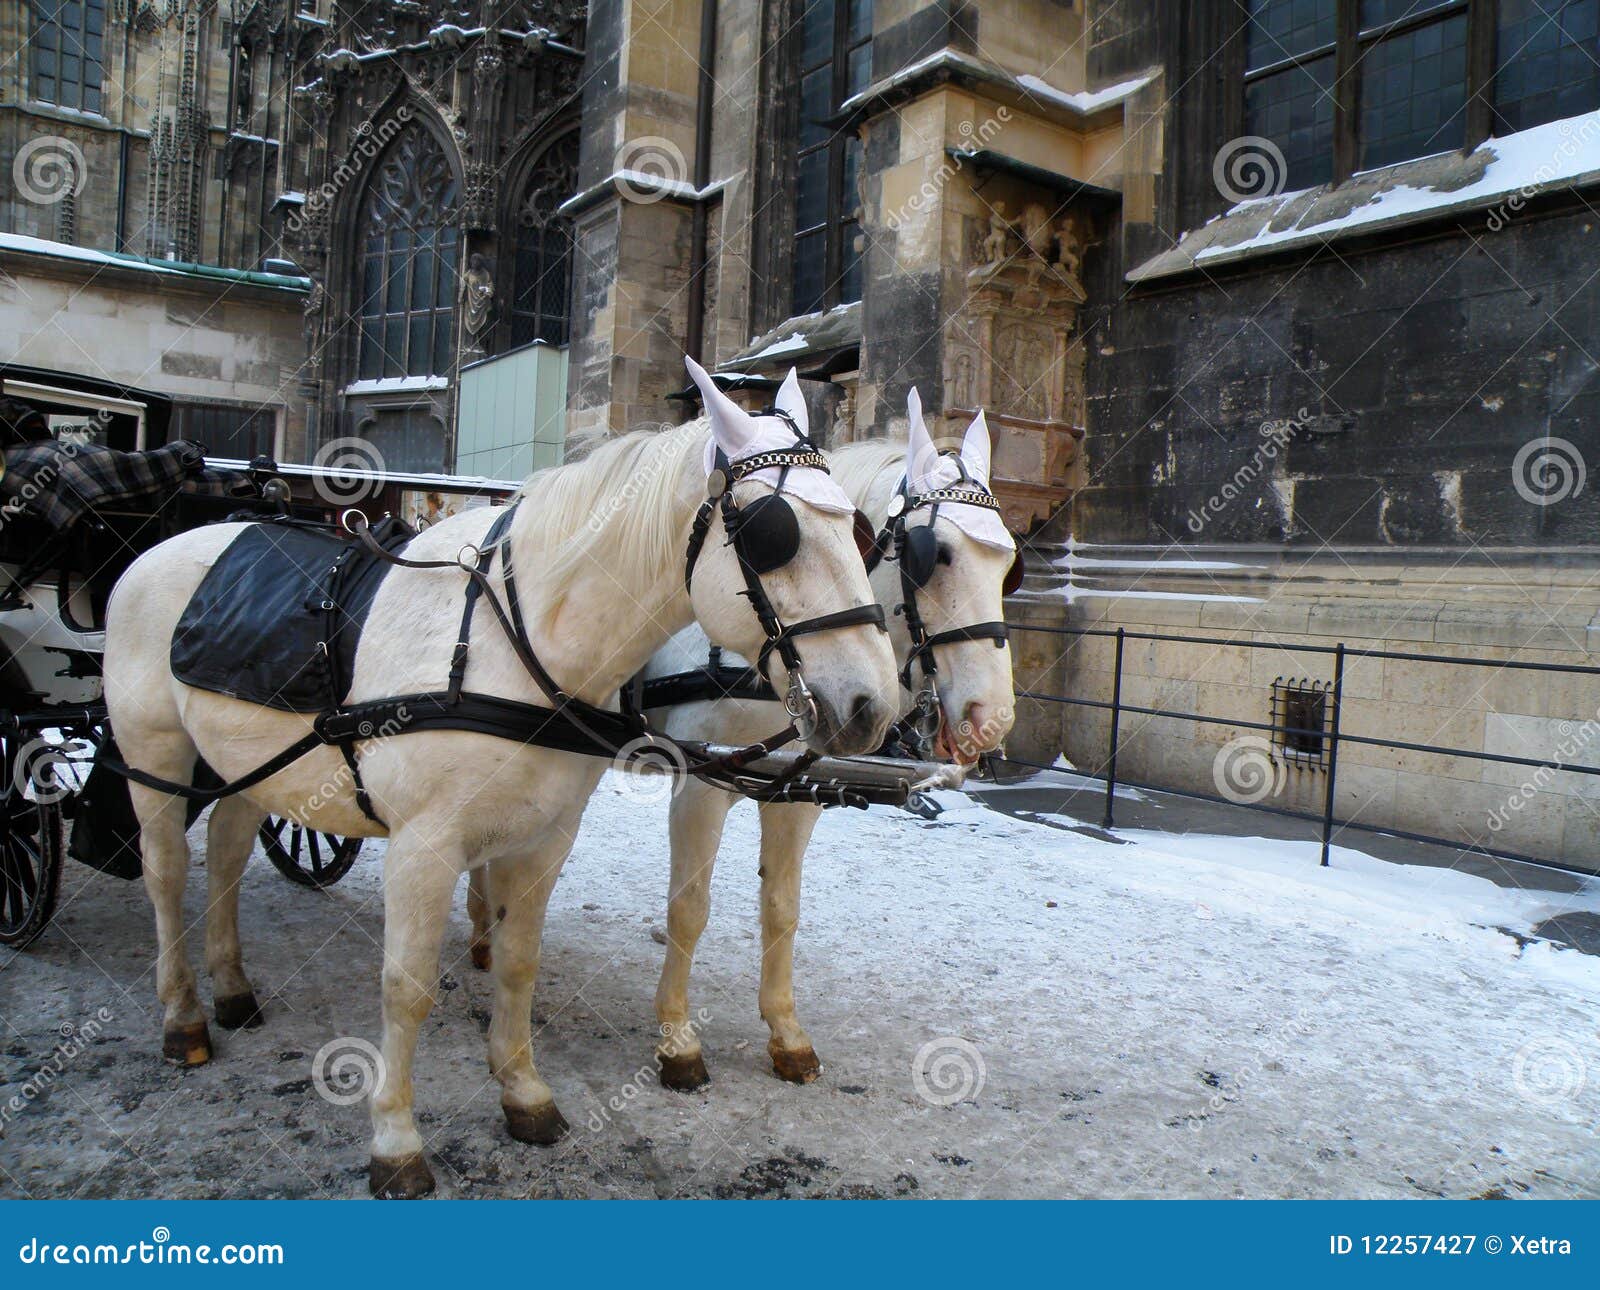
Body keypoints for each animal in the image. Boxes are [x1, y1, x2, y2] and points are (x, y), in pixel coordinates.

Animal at [100, 358, 900, 1197]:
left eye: (859, 532)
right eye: (772, 534)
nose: (870, 706)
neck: (508, 640)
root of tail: (158, 552)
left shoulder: (546, 835)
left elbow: (519, 962)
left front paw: (523, 1092)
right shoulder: (422, 846)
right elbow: (407, 986)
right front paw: (396, 1139)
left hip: (250, 765)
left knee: (225, 848)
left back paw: (231, 987)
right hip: (155, 756)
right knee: (166, 874)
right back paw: (183, 1015)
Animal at [468, 390, 1020, 1088]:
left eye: (1009, 564)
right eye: (935, 554)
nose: (990, 716)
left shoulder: (798, 792)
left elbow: (782, 907)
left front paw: (786, 1032)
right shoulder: (701, 786)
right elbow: (689, 909)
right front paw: (678, 1039)